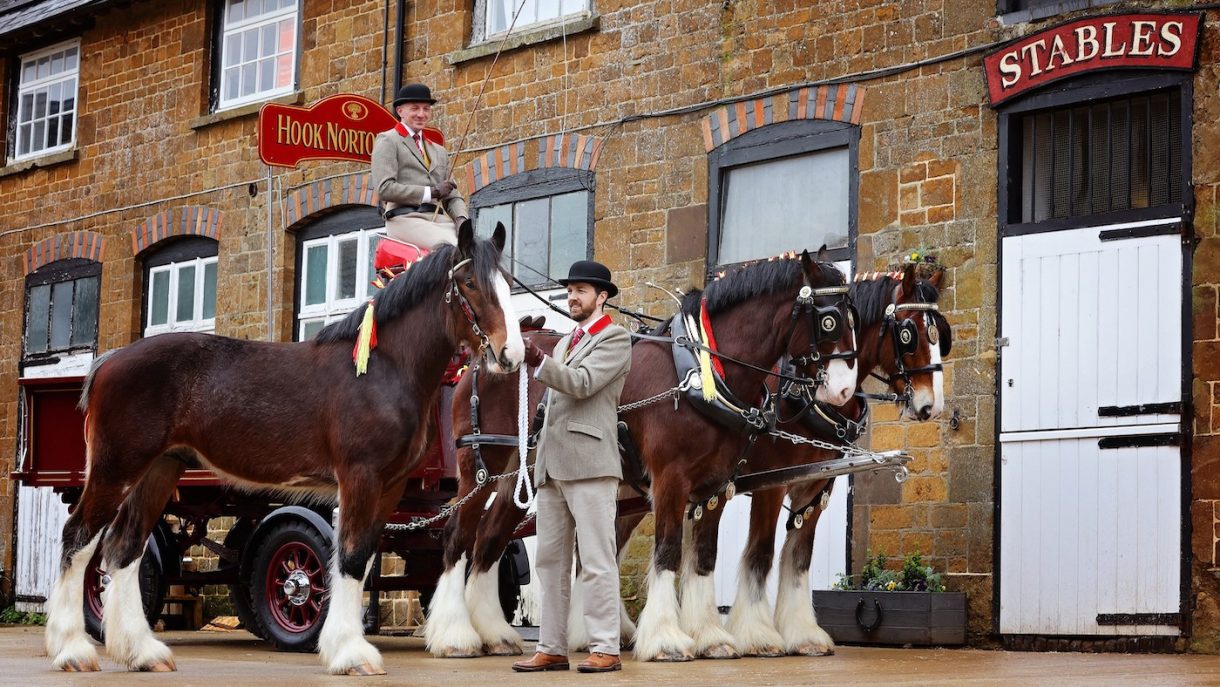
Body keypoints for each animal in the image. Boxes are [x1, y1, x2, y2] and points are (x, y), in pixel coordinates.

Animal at [44, 222, 523, 676]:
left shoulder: (389, 486)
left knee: (125, 549)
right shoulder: (360, 478)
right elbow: (350, 558)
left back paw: (142, 653)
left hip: (158, 470)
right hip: (116, 469)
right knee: (79, 540)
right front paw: (351, 654)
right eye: (470, 283)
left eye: (507, 281)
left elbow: (364, 555)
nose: (512, 355)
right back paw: (72, 651)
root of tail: (109, 361)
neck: (383, 369)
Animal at [423, 249, 860, 660]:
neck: (704, 374)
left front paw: (711, 637)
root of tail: (482, 361)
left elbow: (704, 556)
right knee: (458, 535)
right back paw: (454, 635)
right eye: (830, 321)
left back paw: (493, 633)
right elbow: (668, 551)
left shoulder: (718, 485)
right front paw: (666, 639)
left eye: (854, 318)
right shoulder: (672, 479)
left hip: (522, 477)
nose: (842, 391)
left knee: (489, 538)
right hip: (481, 466)